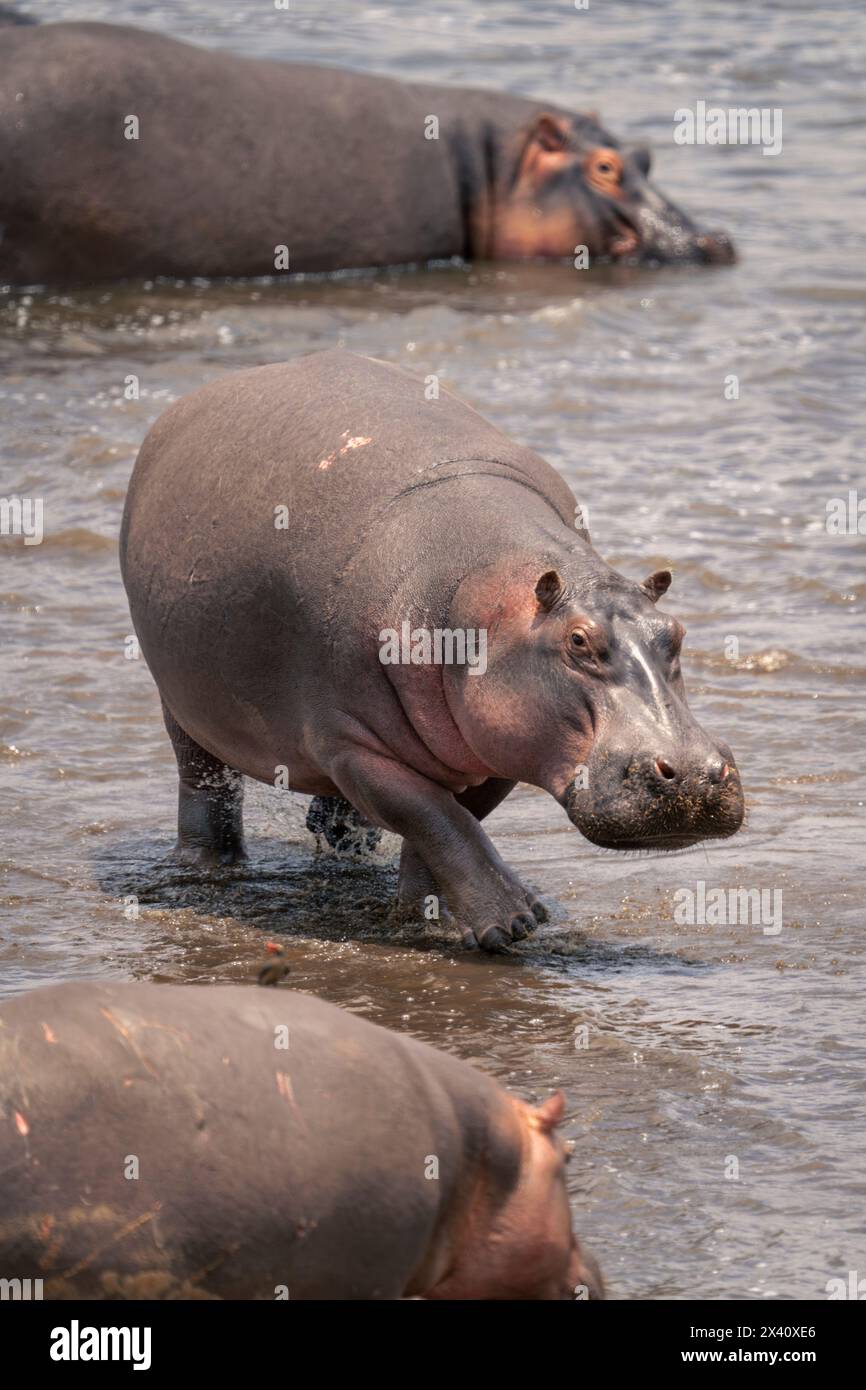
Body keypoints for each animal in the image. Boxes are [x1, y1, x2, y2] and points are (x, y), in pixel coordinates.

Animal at [120, 350, 744, 951]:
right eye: (577, 641)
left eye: (676, 632)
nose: (694, 775)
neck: (482, 595)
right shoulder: (352, 743)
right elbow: (433, 816)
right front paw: (513, 920)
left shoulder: (495, 743)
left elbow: (447, 824)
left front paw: (432, 918)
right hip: (181, 706)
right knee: (204, 788)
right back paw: (205, 871)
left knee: (341, 817)